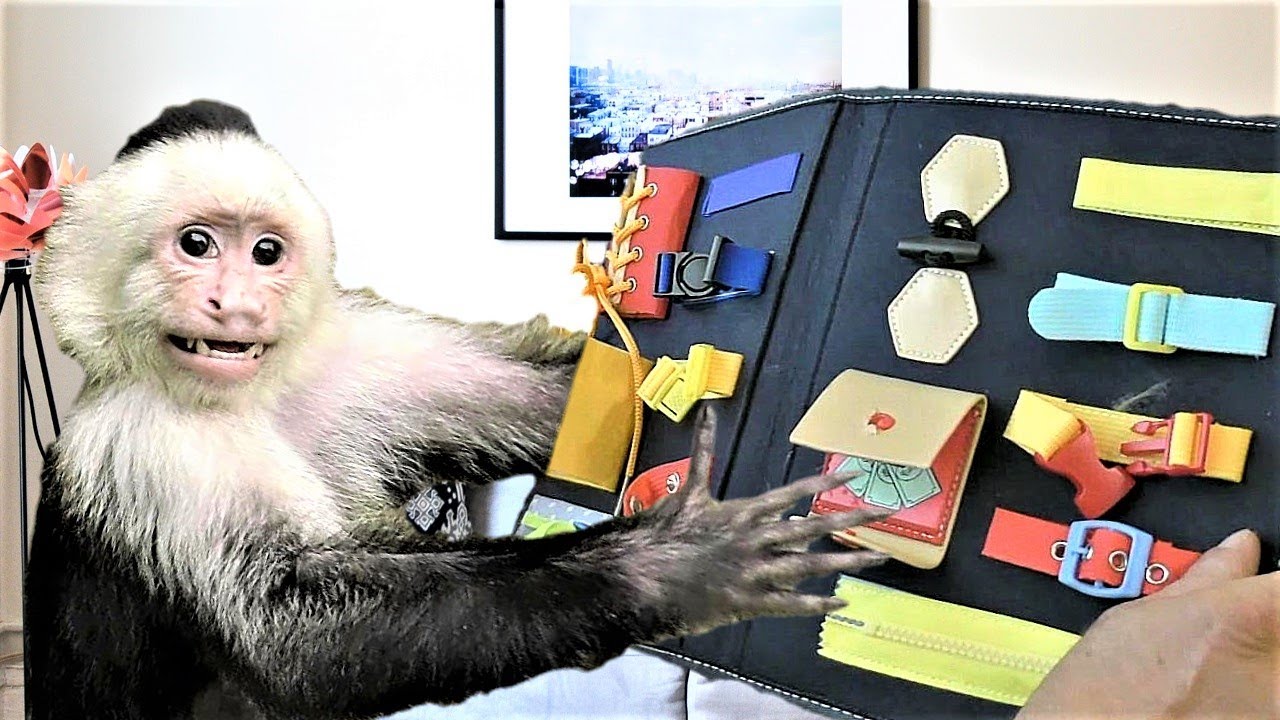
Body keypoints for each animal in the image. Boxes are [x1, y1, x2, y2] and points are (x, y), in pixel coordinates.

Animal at [22, 100, 887, 720]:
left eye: (266, 252)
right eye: (196, 244)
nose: (235, 304)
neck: (260, 392)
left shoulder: (348, 348)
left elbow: (555, 405)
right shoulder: (145, 440)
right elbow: (299, 638)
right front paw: (674, 564)